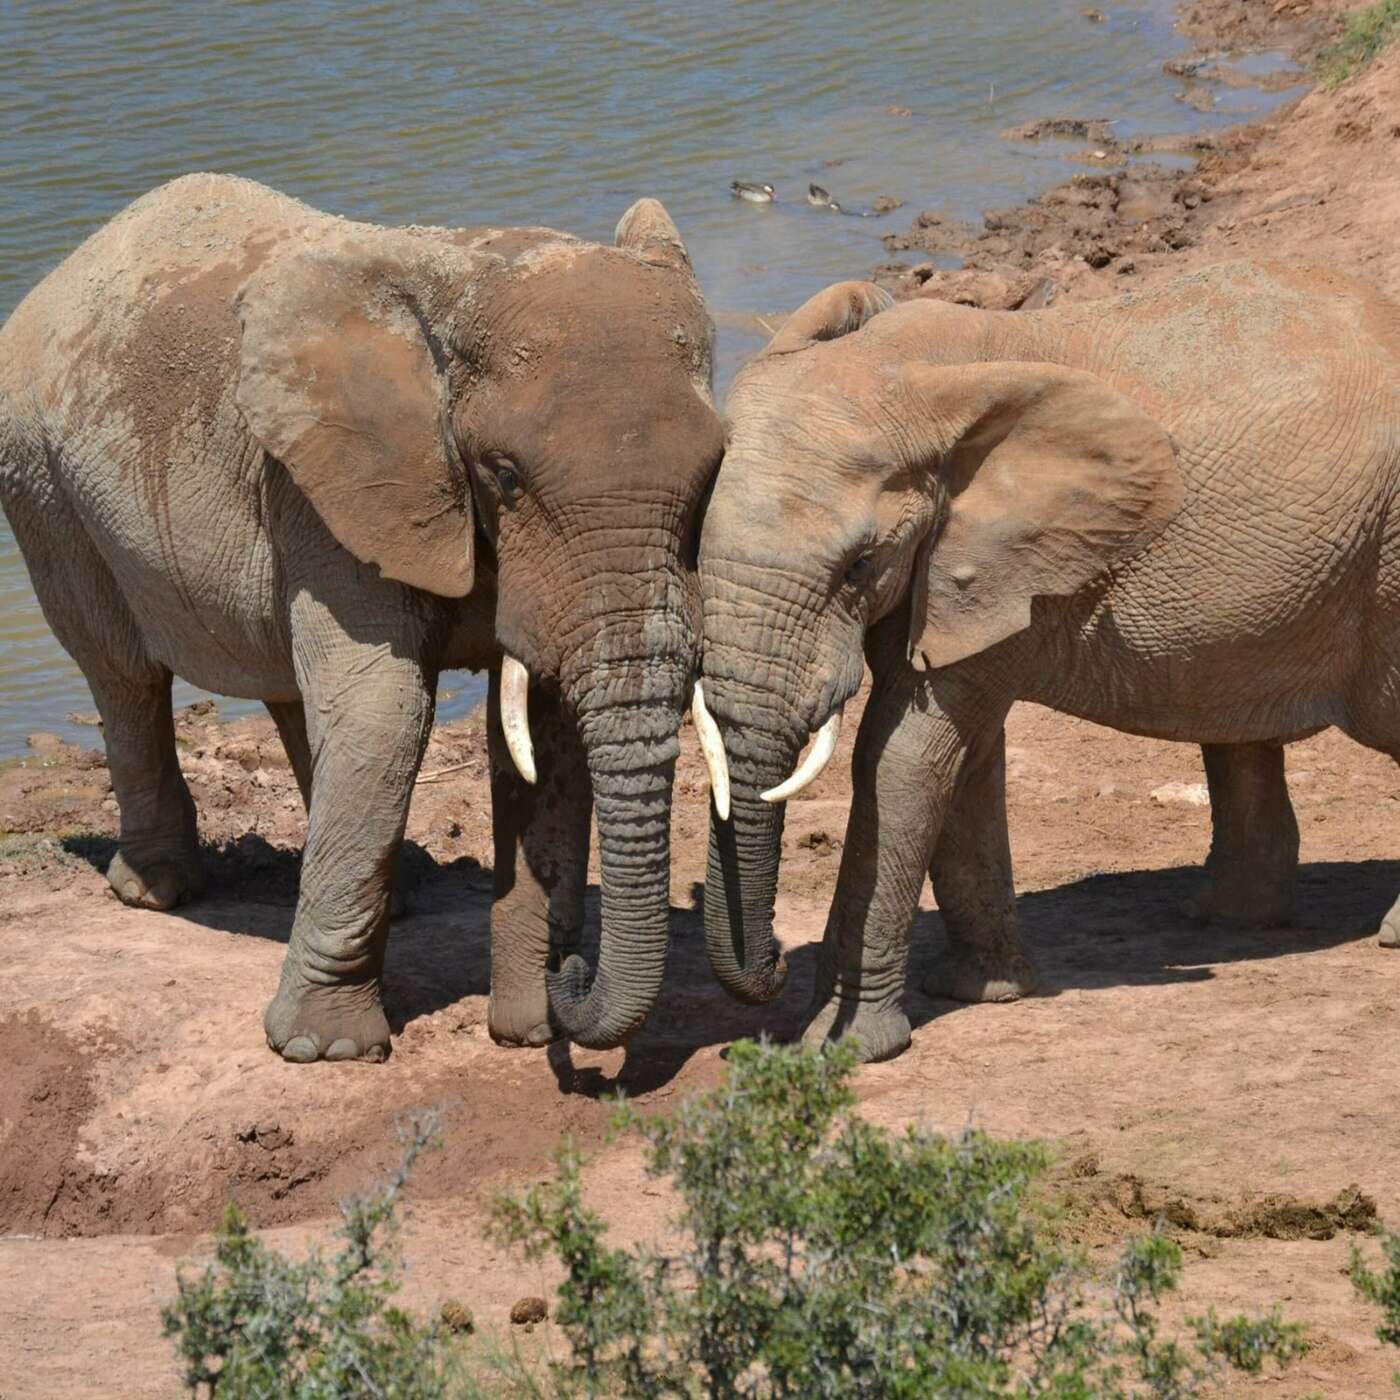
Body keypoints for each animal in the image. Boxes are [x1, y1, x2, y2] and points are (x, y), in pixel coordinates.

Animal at [0, 172, 724, 1062]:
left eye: (713, 471)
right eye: (506, 475)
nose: (576, 975)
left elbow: (540, 729)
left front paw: (524, 1030)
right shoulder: (331, 488)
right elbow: (388, 713)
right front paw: (325, 1052)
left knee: (288, 689)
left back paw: (399, 890)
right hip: (41, 484)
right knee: (122, 673)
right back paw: (156, 891)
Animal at [695, 260, 1400, 1062]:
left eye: (859, 566)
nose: (776, 961)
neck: (905, 367)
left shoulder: (997, 562)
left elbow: (897, 758)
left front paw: (833, 1047)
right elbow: (963, 758)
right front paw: (985, 992)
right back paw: (1226, 918)